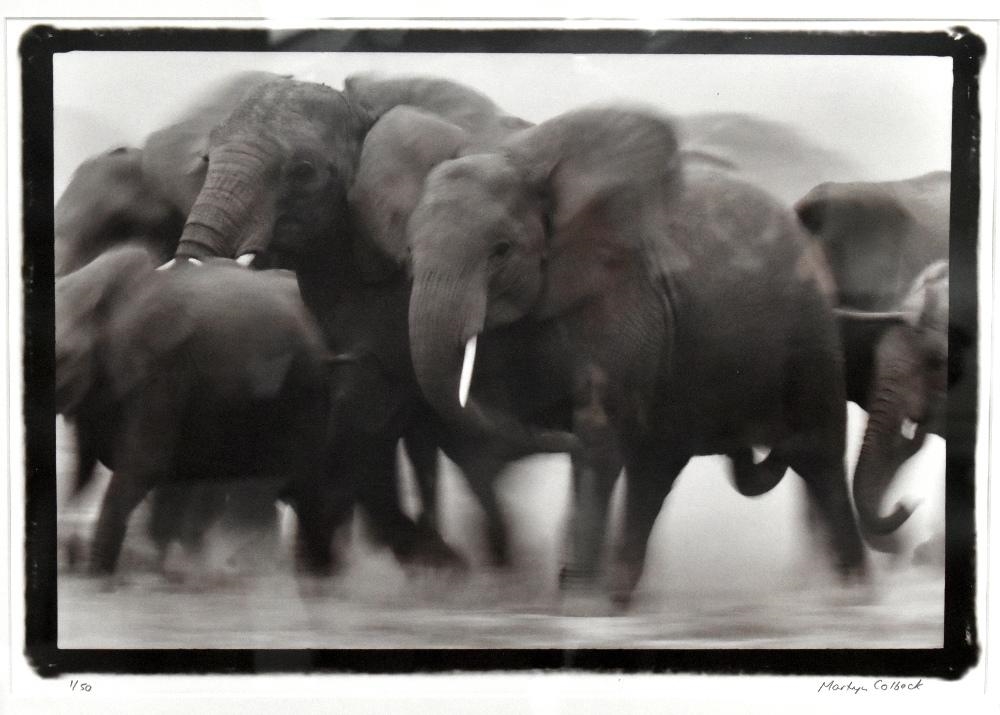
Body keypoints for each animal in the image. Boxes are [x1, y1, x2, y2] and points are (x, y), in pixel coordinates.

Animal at [55, 245, 343, 577]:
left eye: (64, 357)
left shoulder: (163, 372)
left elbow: (143, 465)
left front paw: (98, 574)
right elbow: (84, 469)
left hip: (302, 390)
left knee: (300, 486)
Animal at [359, 104, 867, 605]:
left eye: (501, 250)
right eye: (409, 250)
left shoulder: (624, 300)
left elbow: (598, 439)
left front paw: (577, 600)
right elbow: (486, 439)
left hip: (810, 330)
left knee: (818, 454)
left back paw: (853, 591)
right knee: (654, 465)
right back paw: (617, 592)